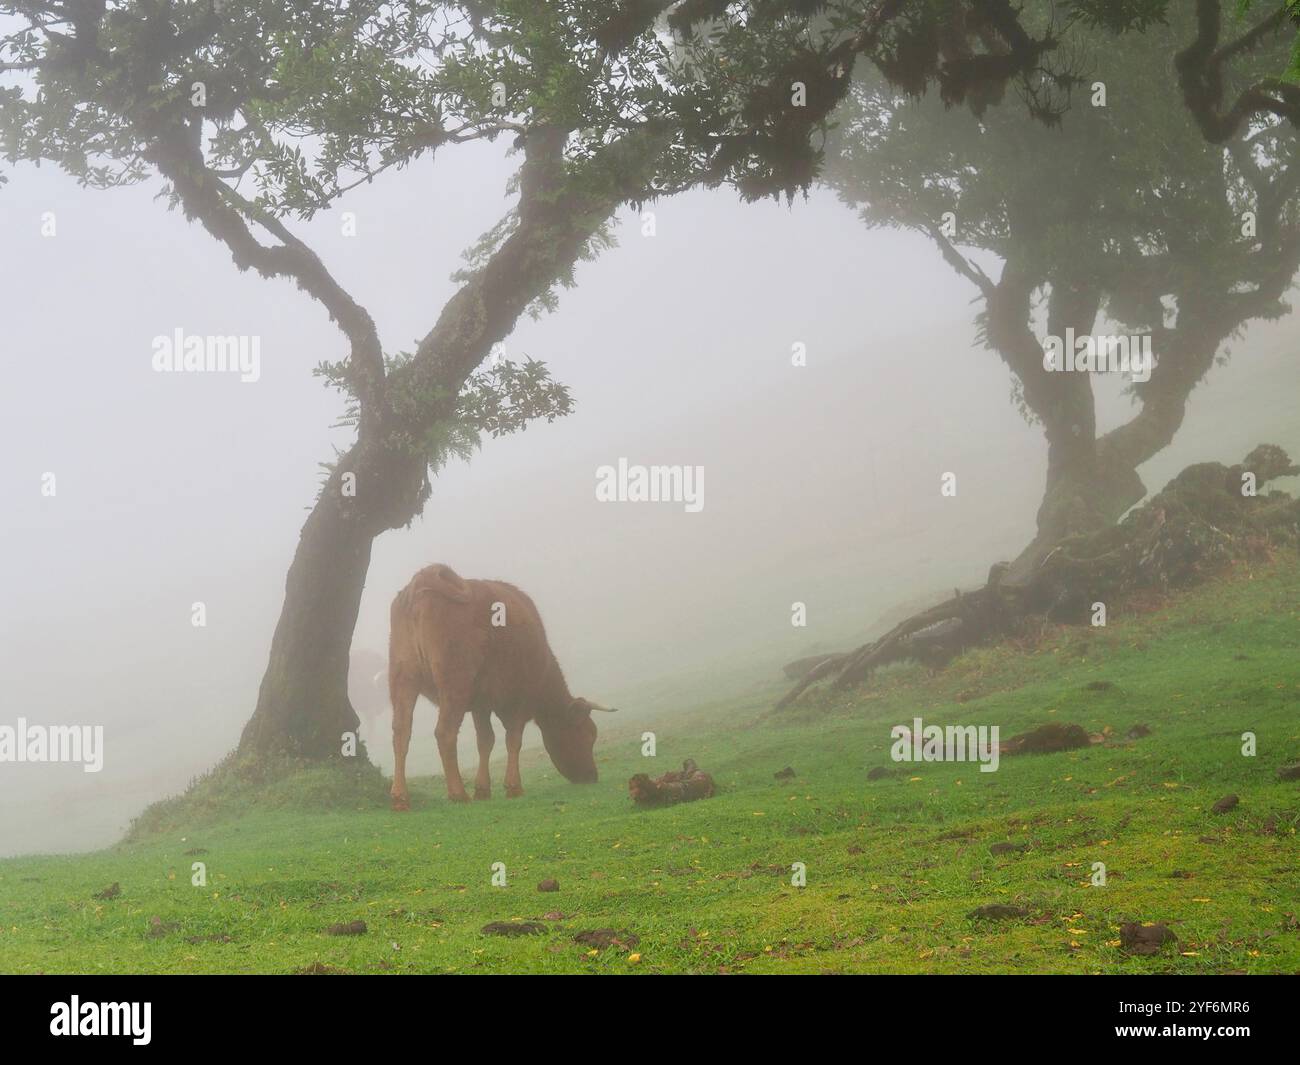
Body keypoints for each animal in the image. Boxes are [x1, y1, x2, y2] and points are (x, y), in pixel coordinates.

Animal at [387, 563, 616, 808]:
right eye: (588, 735)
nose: (592, 775)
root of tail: (426, 574)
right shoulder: (520, 700)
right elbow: (513, 739)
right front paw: (513, 787)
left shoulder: (481, 703)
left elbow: (486, 740)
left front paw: (482, 789)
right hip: (454, 685)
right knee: (444, 733)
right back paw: (458, 793)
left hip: (402, 679)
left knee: (401, 732)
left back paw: (400, 797)